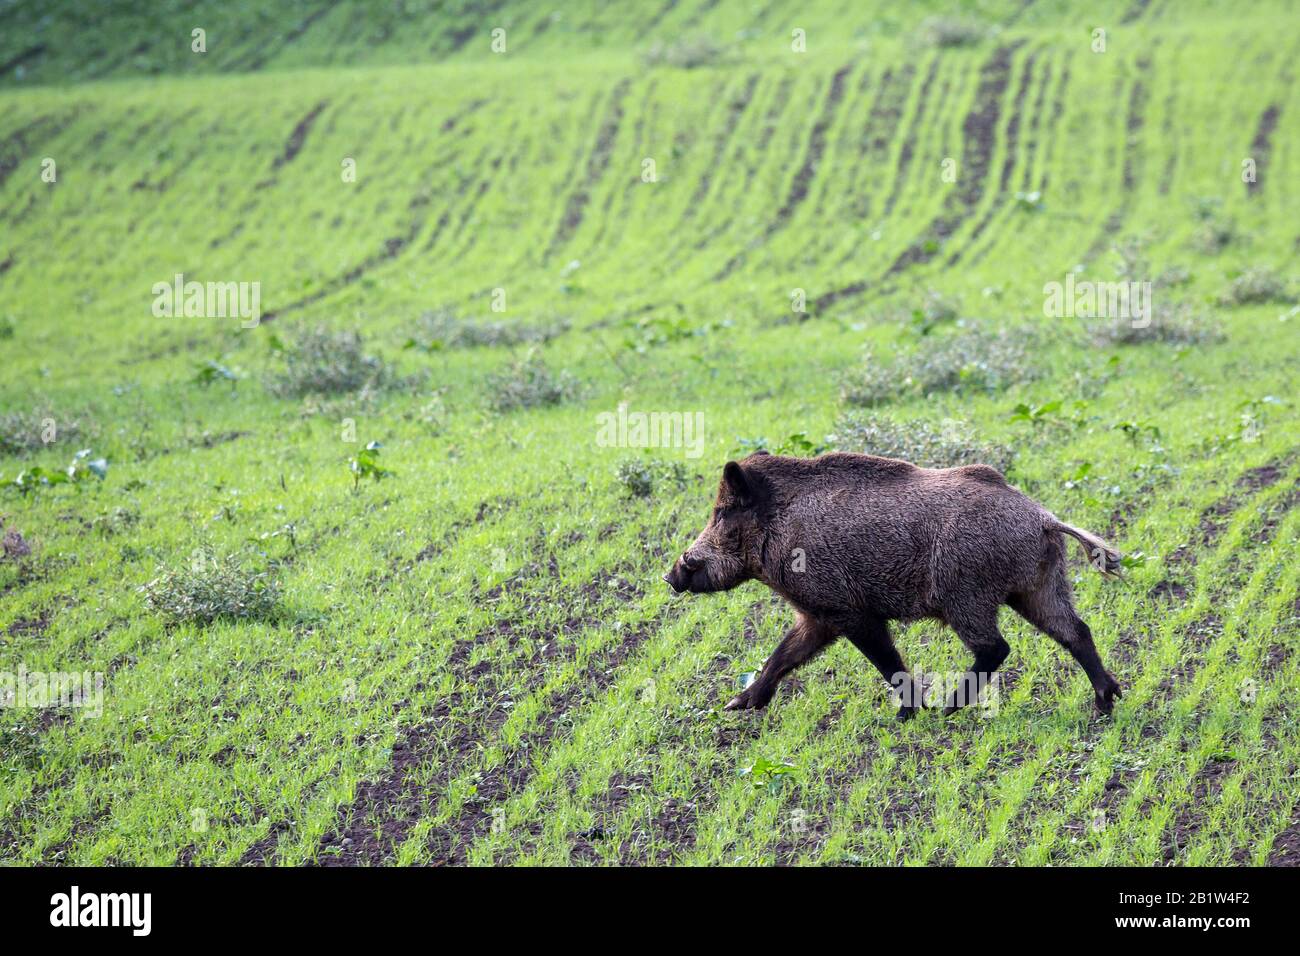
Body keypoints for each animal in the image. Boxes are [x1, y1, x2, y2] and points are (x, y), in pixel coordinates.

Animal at [663, 451, 1123, 720]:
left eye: (722, 514)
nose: (671, 575)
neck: (779, 526)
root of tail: (1044, 518)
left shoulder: (849, 610)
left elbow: (886, 661)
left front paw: (908, 714)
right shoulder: (817, 615)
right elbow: (782, 655)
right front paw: (735, 706)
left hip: (966, 596)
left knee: (997, 647)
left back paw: (948, 709)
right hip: (1036, 587)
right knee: (1076, 632)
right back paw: (1105, 703)